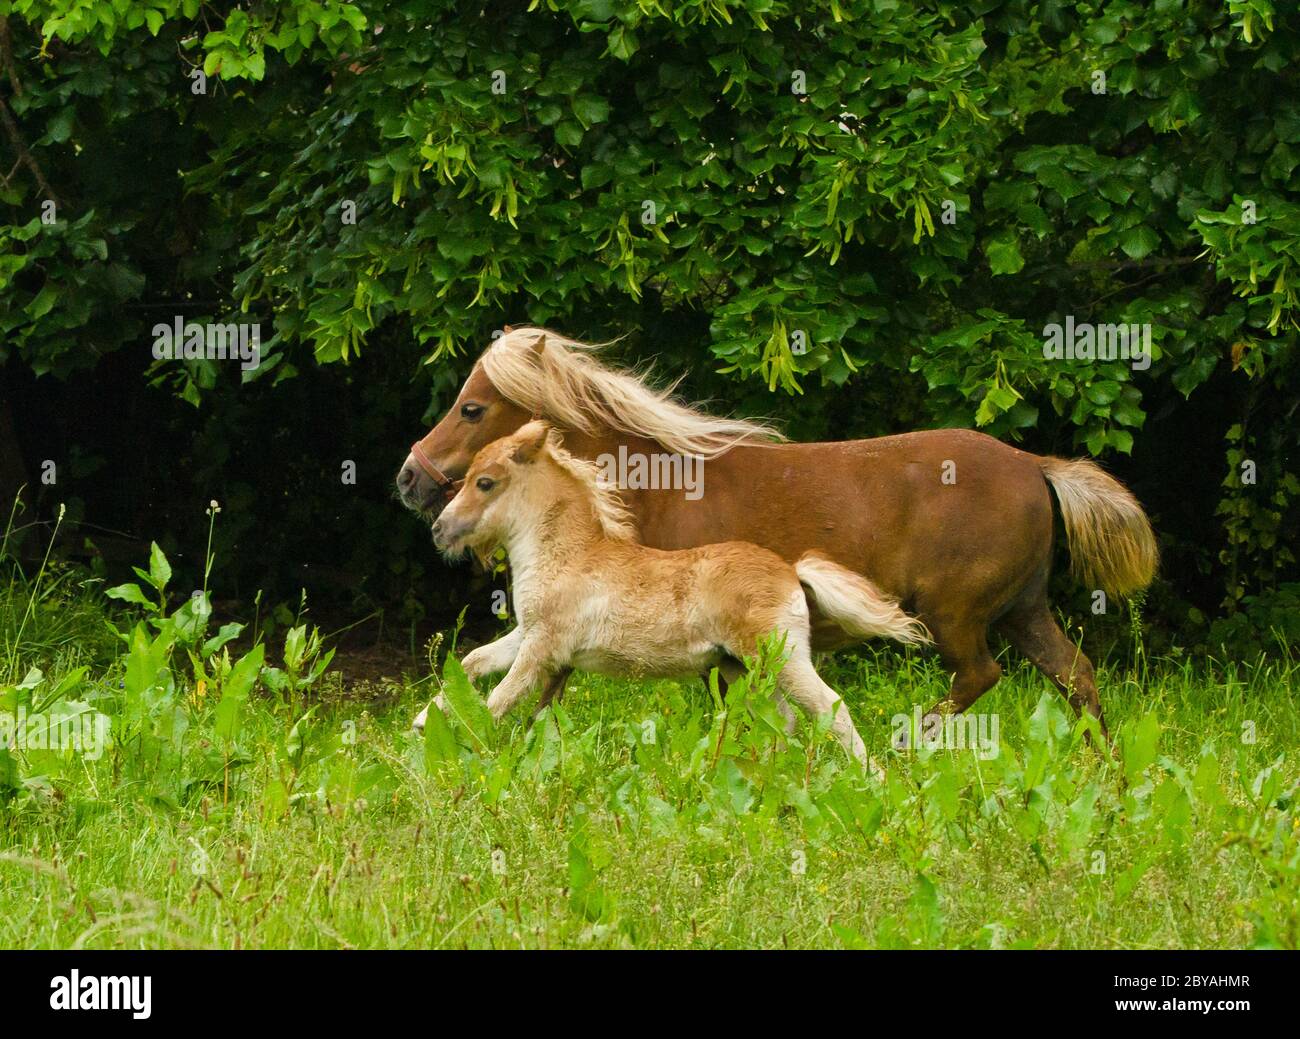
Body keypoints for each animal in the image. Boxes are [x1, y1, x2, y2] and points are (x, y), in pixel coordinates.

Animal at [412, 420, 930, 765]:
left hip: (781, 659)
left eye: (485, 482)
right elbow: (473, 661)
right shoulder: (531, 635)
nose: (438, 531)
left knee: (831, 711)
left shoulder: (543, 648)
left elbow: (498, 701)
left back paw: (874, 781)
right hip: (744, 667)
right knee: (781, 721)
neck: (568, 555)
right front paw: (421, 721)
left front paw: (467, 747)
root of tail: (790, 570)